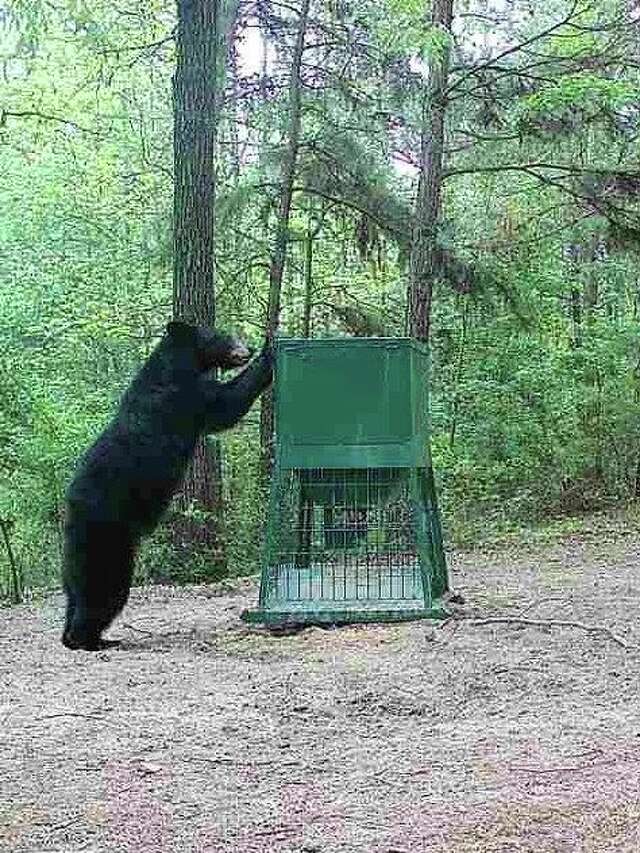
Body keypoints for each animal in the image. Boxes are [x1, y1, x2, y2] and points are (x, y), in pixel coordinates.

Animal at [62, 320, 273, 651]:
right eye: (220, 334)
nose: (247, 348)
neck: (177, 365)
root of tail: (71, 509)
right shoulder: (185, 397)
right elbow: (225, 405)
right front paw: (268, 352)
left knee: (74, 592)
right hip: (106, 537)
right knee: (103, 591)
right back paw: (89, 640)